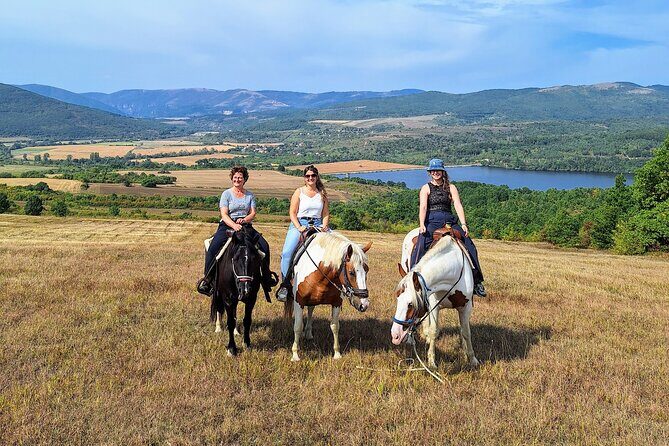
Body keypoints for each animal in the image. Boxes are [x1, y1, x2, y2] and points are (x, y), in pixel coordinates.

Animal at [210, 225, 263, 356]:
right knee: (219, 308)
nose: (245, 290)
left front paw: (247, 344)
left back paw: (235, 332)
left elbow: (247, 320)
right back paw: (218, 328)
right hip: (219, 293)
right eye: (235, 258)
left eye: (254, 259)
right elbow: (230, 321)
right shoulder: (228, 298)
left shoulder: (251, 299)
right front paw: (231, 348)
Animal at [283, 231, 372, 361]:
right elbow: (298, 326)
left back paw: (308, 333)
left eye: (367, 270)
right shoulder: (299, 301)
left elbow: (335, 326)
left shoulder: (336, 303)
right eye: (351, 272)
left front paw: (337, 353)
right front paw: (295, 354)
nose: (364, 304)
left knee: (311, 310)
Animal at [390, 228, 479, 368]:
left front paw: (472, 358)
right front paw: (431, 362)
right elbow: (434, 331)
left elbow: (465, 332)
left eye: (411, 304)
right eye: (398, 300)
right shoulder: (434, 304)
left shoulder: (466, 306)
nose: (395, 335)